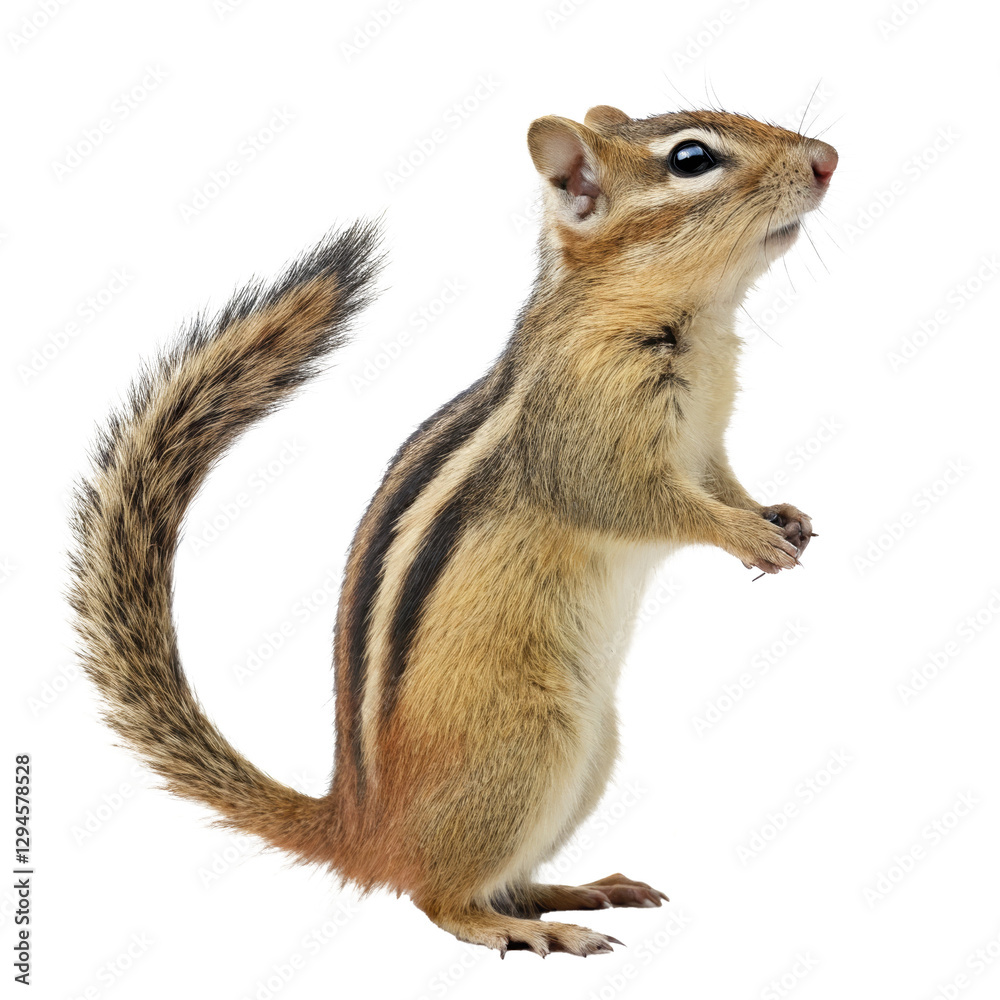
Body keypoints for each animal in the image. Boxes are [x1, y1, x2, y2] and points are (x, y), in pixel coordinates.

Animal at [69, 104, 837, 958]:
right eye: (692, 159)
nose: (828, 159)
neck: (695, 324)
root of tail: (359, 825)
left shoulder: (706, 445)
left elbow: (726, 486)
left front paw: (783, 517)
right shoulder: (589, 440)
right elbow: (647, 505)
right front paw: (749, 538)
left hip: (588, 755)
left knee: (503, 879)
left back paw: (574, 891)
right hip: (529, 746)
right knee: (438, 897)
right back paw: (532, 931)